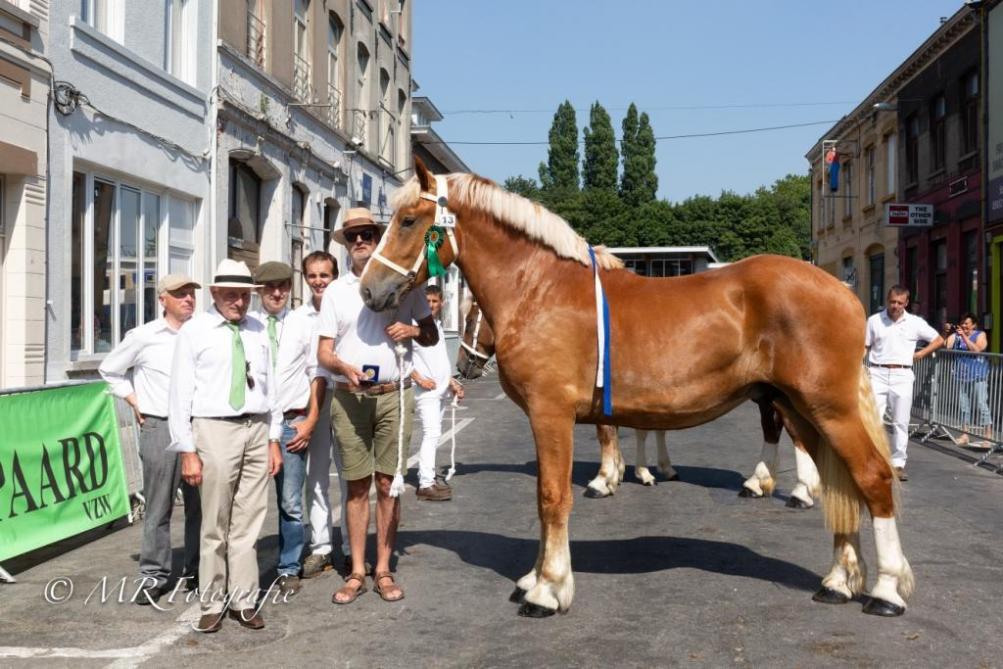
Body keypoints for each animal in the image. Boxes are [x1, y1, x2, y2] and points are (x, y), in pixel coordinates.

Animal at [458, 298, 822, 506]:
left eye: (470, 321)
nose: (463, 366)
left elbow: (613, 432)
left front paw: (608, 478)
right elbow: (636, 430)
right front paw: (633, 471)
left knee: (794, 432)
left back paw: (798, 490)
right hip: (767, 395)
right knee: (776, 430)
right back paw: (760, 483)